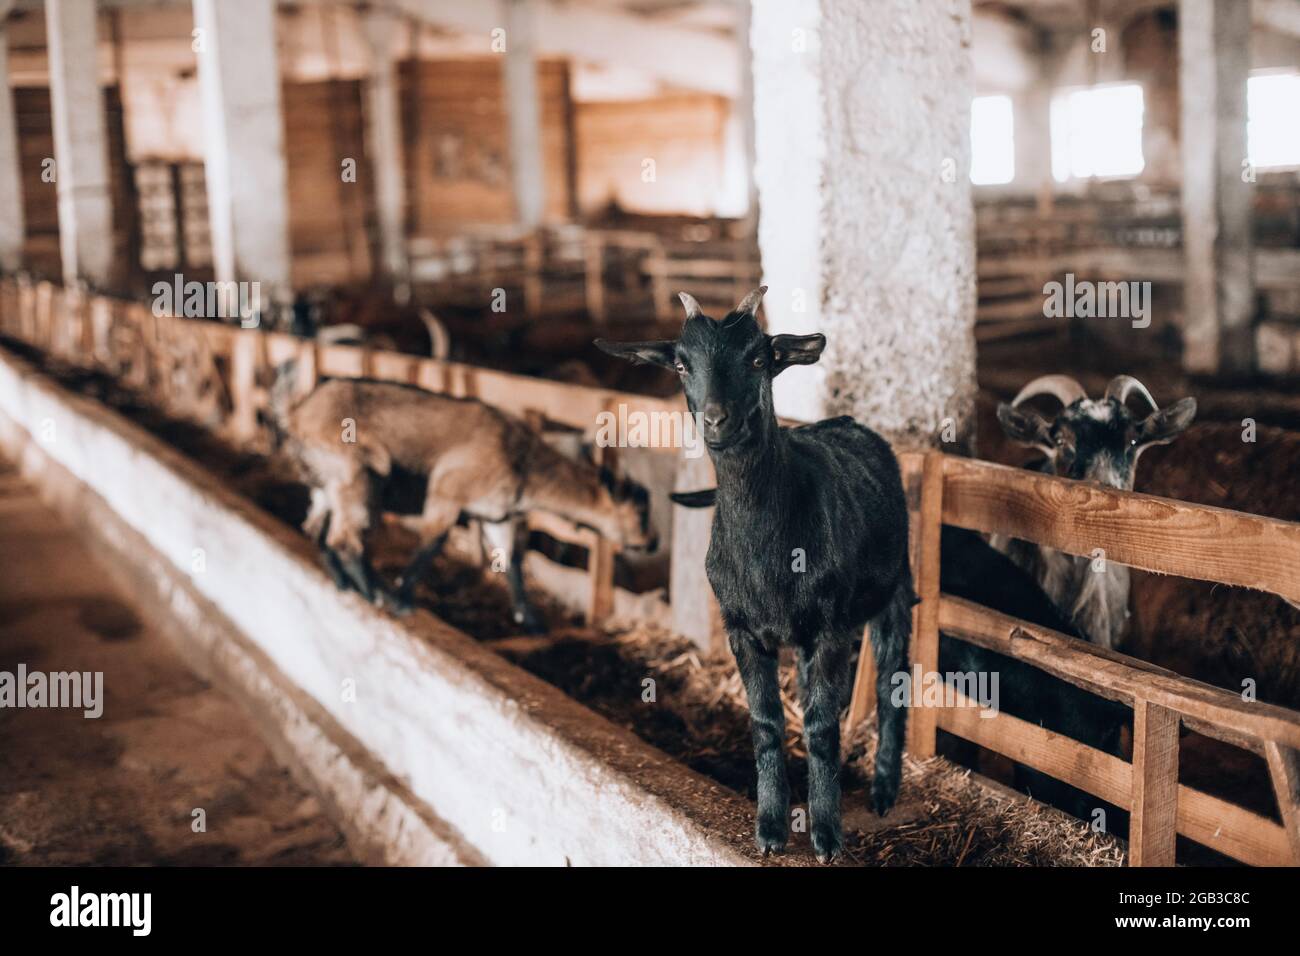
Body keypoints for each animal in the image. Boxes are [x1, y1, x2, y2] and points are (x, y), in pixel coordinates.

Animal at [273, 372, 656, 626]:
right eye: (639, 512)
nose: (652, 543)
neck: (523, 463)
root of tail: (299, 414)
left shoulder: (496, 514)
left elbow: (512, 561)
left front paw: (529, 619)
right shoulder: (447, 491)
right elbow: (432, 544)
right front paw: (402, 598)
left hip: (325, 484)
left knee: (318, 530)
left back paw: (344, 583)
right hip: (355, 476)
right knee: (345, 537)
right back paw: (374, 593)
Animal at [596, 287, 913, 862]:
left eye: (759, 359)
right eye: (681, 363)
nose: (717, 419)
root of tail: (847, 422)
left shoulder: (831, 628)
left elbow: (822, 726)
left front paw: (827, 834)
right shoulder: (741, 629)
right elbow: (767, 722)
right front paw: (769, 829)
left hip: (895, 589)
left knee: (890, 683)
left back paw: (882, 790)